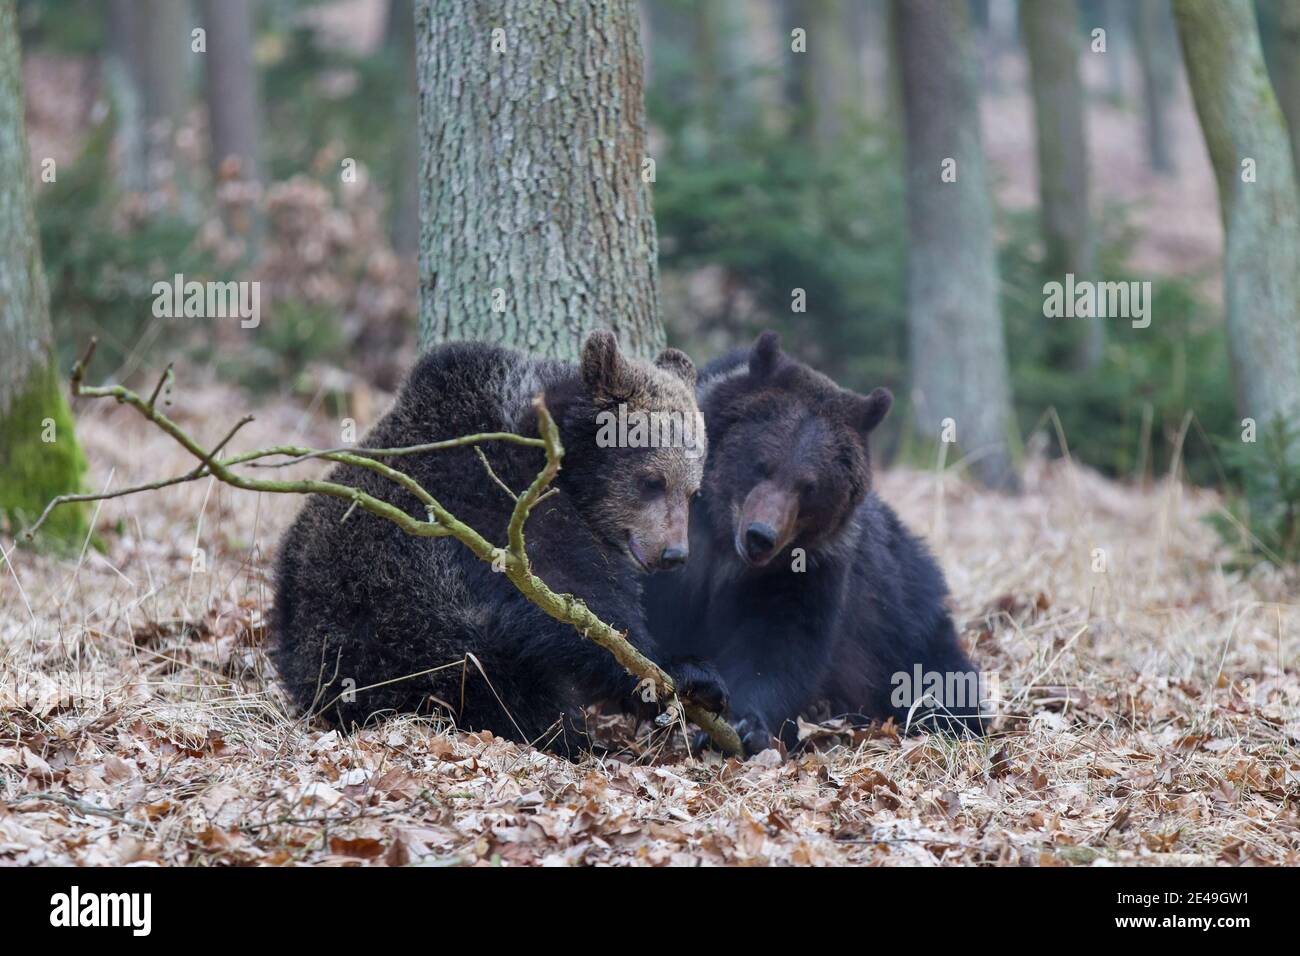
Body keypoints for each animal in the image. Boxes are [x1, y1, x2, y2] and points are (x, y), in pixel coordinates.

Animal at [272, 330, 727, 757]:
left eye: (692, 492)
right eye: (652, 481)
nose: (673, 553)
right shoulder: (492, 503)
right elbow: (565, 596)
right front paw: (680, 674)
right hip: (384, 629)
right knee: (488, 678)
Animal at [644, 331, 986, 756]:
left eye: (809, 487)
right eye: (762, 464)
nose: (760, 536)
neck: (723, 540)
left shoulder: (810, 566)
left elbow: (781, 642)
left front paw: (746, 724)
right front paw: (695, 677)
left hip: (905, 622)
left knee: (941, 677)